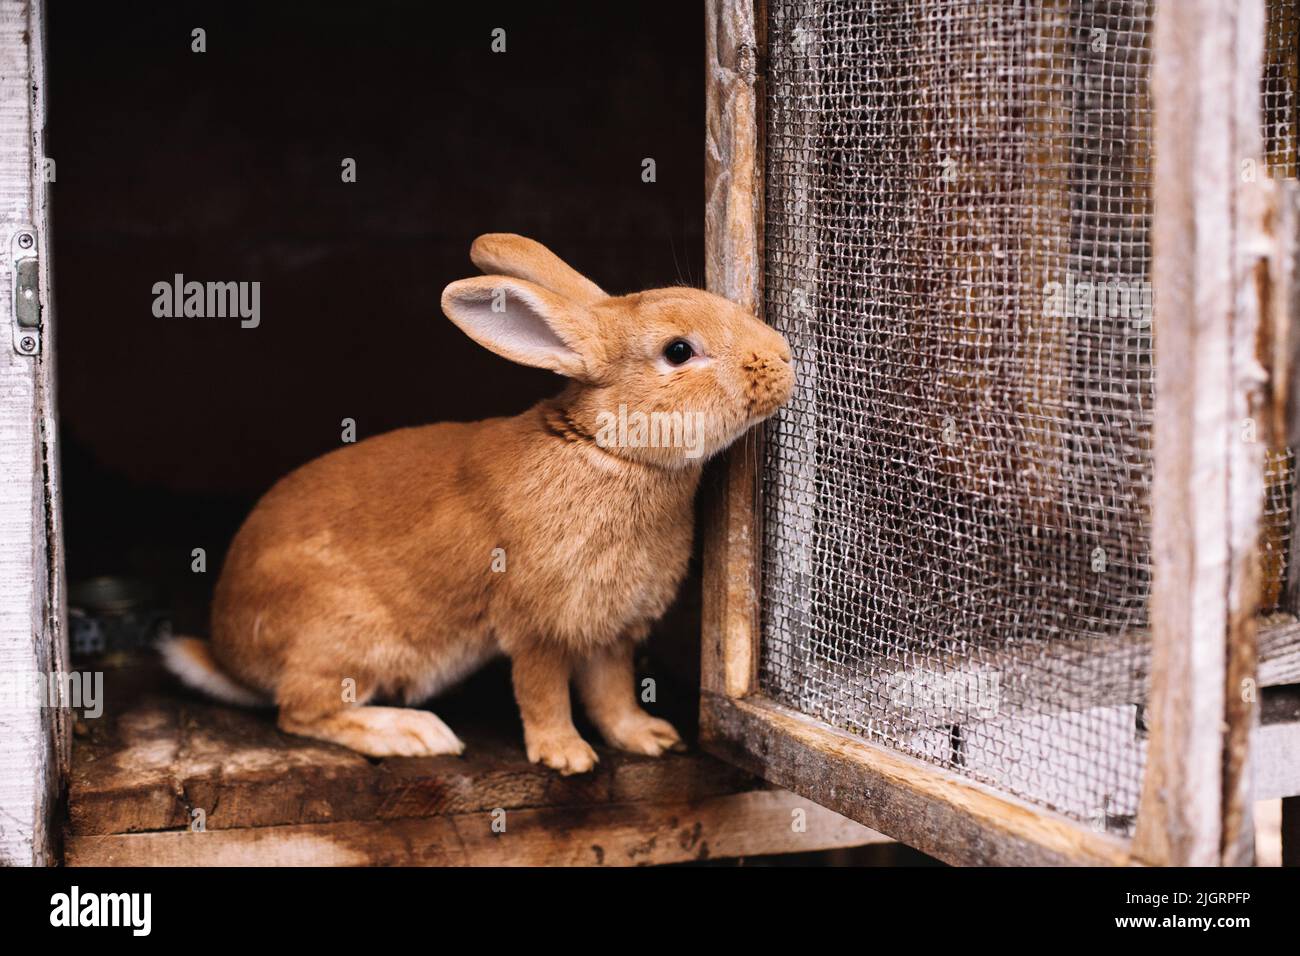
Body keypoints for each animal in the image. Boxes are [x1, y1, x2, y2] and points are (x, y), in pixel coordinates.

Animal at [160, 234, 794, 774]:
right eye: (678, 350)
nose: (784, 355)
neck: (607, 450)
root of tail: (229, 653)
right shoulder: (536, 625)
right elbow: (543, 692)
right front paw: (566, 756)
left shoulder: (609, 632)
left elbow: (610, 694)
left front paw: (648, 737)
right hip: (343, 640)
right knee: (299, 710)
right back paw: (410, 732)